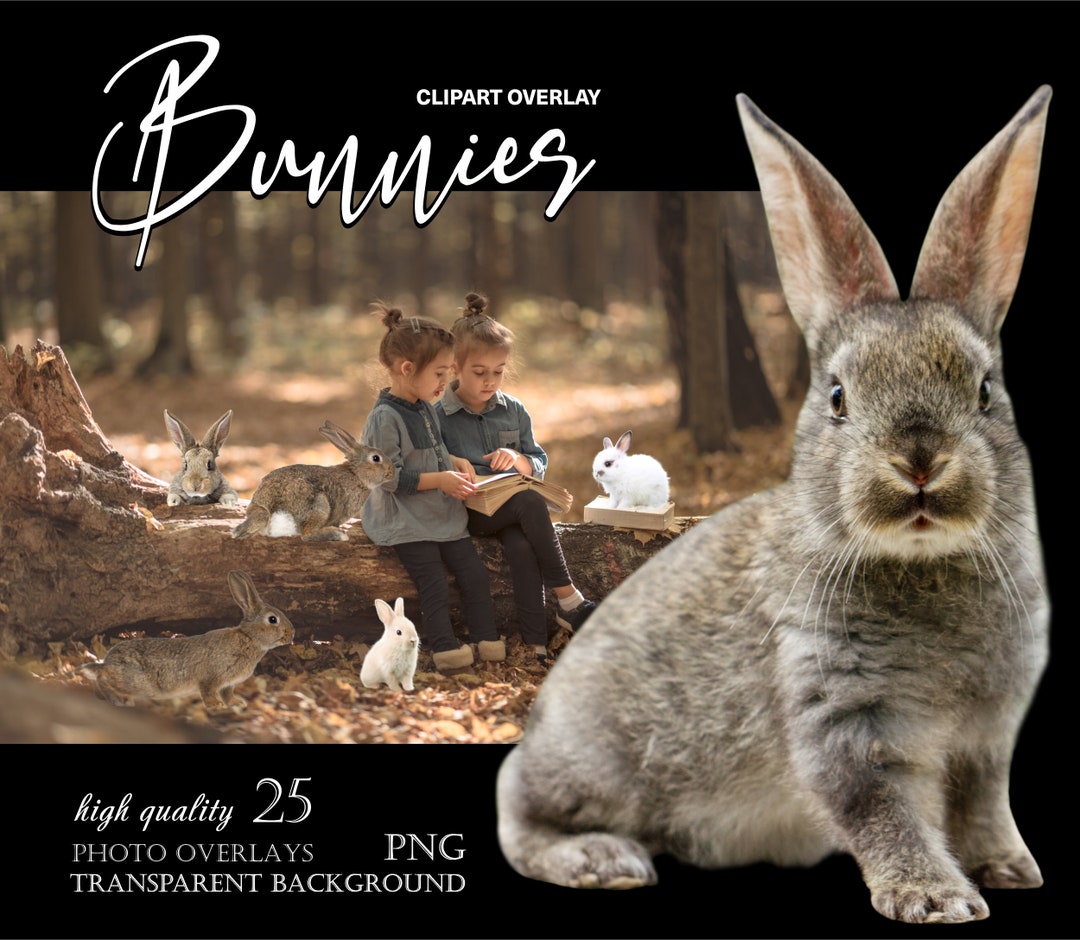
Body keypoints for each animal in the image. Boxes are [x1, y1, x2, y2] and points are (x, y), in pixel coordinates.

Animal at [84, 570, 294, 710]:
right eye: (272, 619)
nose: (291, 634)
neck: (249, 637)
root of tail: (107, 663)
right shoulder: (212, 676)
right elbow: (208, 692)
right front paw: (216, 706)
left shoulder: (228, 683)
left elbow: (228, 694)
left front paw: (236, 703)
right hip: (136, 681)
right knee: (105, 681)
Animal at [231, 420, 394, 541]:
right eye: (376, 458)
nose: (391, 472)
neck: (356, 474)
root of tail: (269, 511)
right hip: (320, 505)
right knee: (307, 535)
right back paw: (338, 535)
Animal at [497, 87, 1052, 925]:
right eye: (837, 397)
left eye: (986, 391)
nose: (919, 461)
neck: (921, 562)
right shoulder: (841, 715)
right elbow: (879, 807)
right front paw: (935, 898)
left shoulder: (986, 739)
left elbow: (981, 806)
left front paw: (1009, 871)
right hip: (594, 761)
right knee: (521, 813)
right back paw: (601, 860)